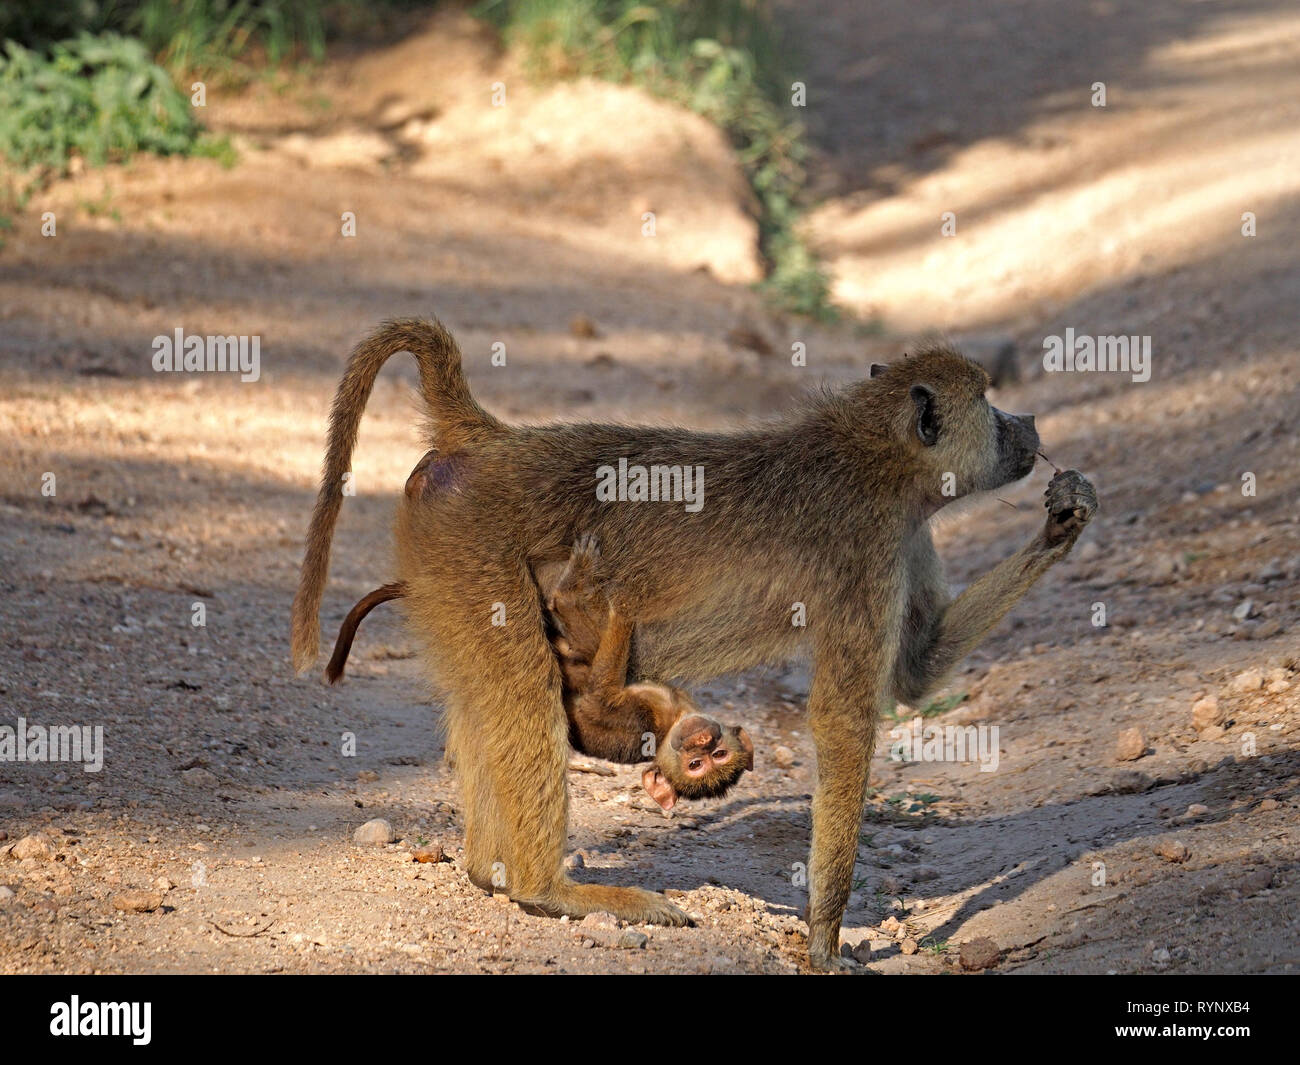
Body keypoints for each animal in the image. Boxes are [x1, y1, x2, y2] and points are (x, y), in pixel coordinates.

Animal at [291, 317, 1097, 968]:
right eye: (989, 402)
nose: (1029, 423)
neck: (877, 457)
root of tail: (495, 443)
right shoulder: (863, 551)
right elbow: (844, 722)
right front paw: (825, 942)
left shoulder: (903, 536)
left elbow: (919, 668)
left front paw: (1067, 518)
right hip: (476, 552)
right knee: (525, 697)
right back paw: (547, 889)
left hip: (444, 567)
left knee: (485, 699)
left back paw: (487, 872)